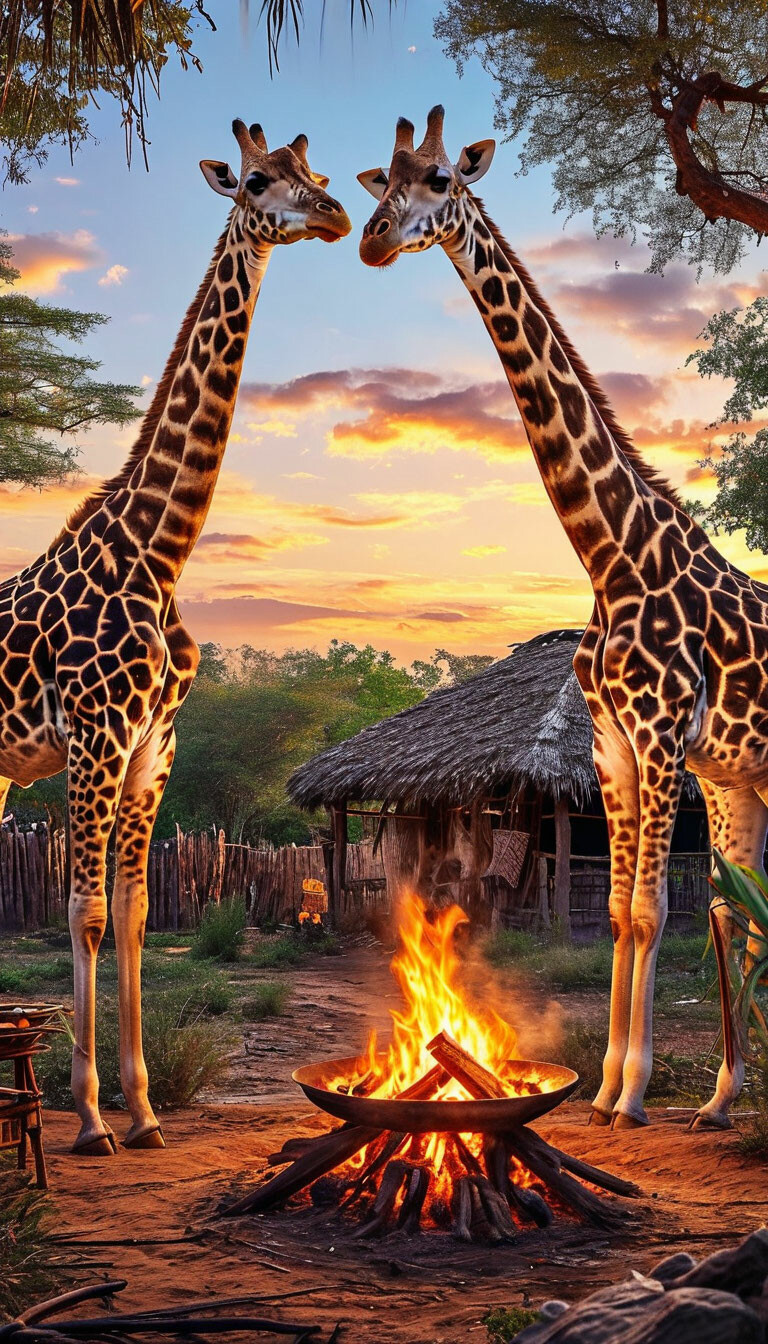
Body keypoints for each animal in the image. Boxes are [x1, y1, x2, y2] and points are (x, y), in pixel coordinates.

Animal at [0, 119, 350, 1155]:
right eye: (260, 180)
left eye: (318, 171)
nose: (334, 214)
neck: (157, 552)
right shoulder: (94, 735)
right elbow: (80, 912)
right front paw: (86, 1119)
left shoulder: (155, 745)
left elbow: (134, 914)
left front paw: (145, 1109)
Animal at [358, 106, 768, 1130]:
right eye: (381, 178)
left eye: (437, 180)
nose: (372, 239)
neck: (613, 555)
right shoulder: (615, 747)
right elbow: (629, 910)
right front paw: (619, 1088)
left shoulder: (660, 739)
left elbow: (653, 911)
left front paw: (633, 1094)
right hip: (742, 776)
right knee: (742, 909)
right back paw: (724, 1101)